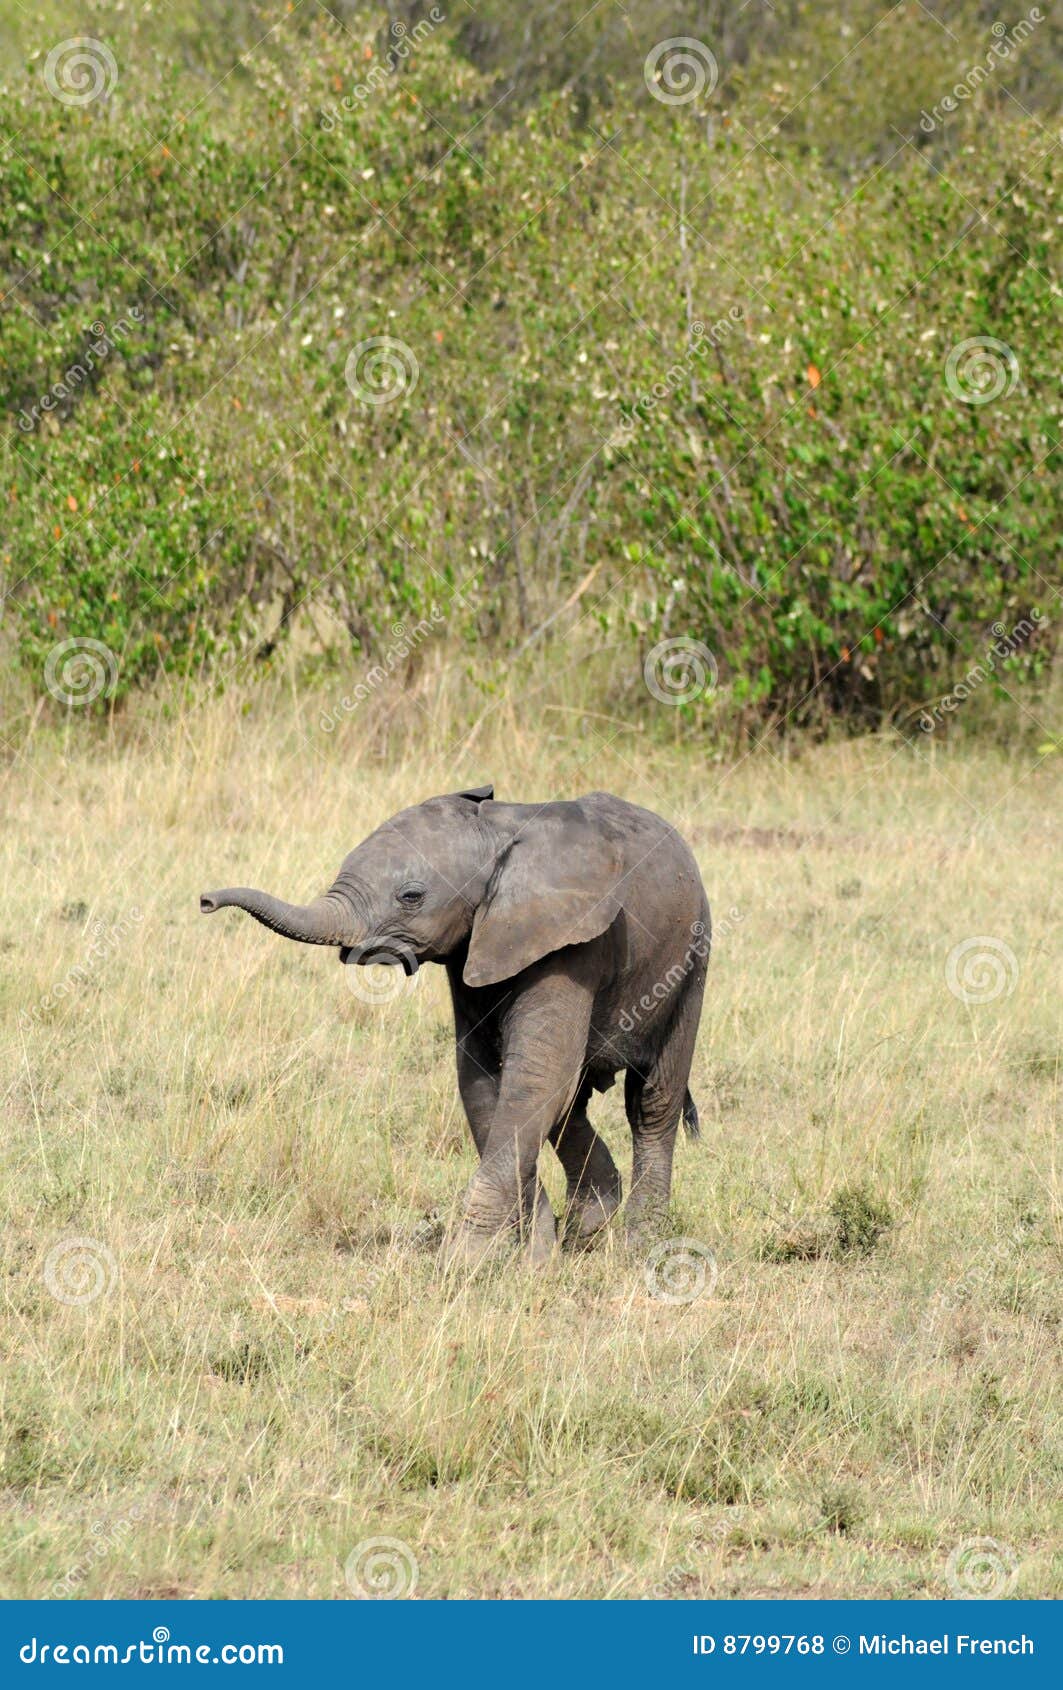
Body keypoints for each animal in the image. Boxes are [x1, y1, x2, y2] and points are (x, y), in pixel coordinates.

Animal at [200, 785, 710, 1266]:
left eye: (411, 896)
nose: (205, 901)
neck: (499, 832)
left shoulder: (576, 942)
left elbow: (533, 1081)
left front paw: (463, 1264)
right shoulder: (473, 945)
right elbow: (485, 1083)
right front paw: (532, 1256)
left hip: (691, 961)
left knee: (651, 1103)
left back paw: (640, 1245)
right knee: (572, 1105)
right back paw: (589, 1226)